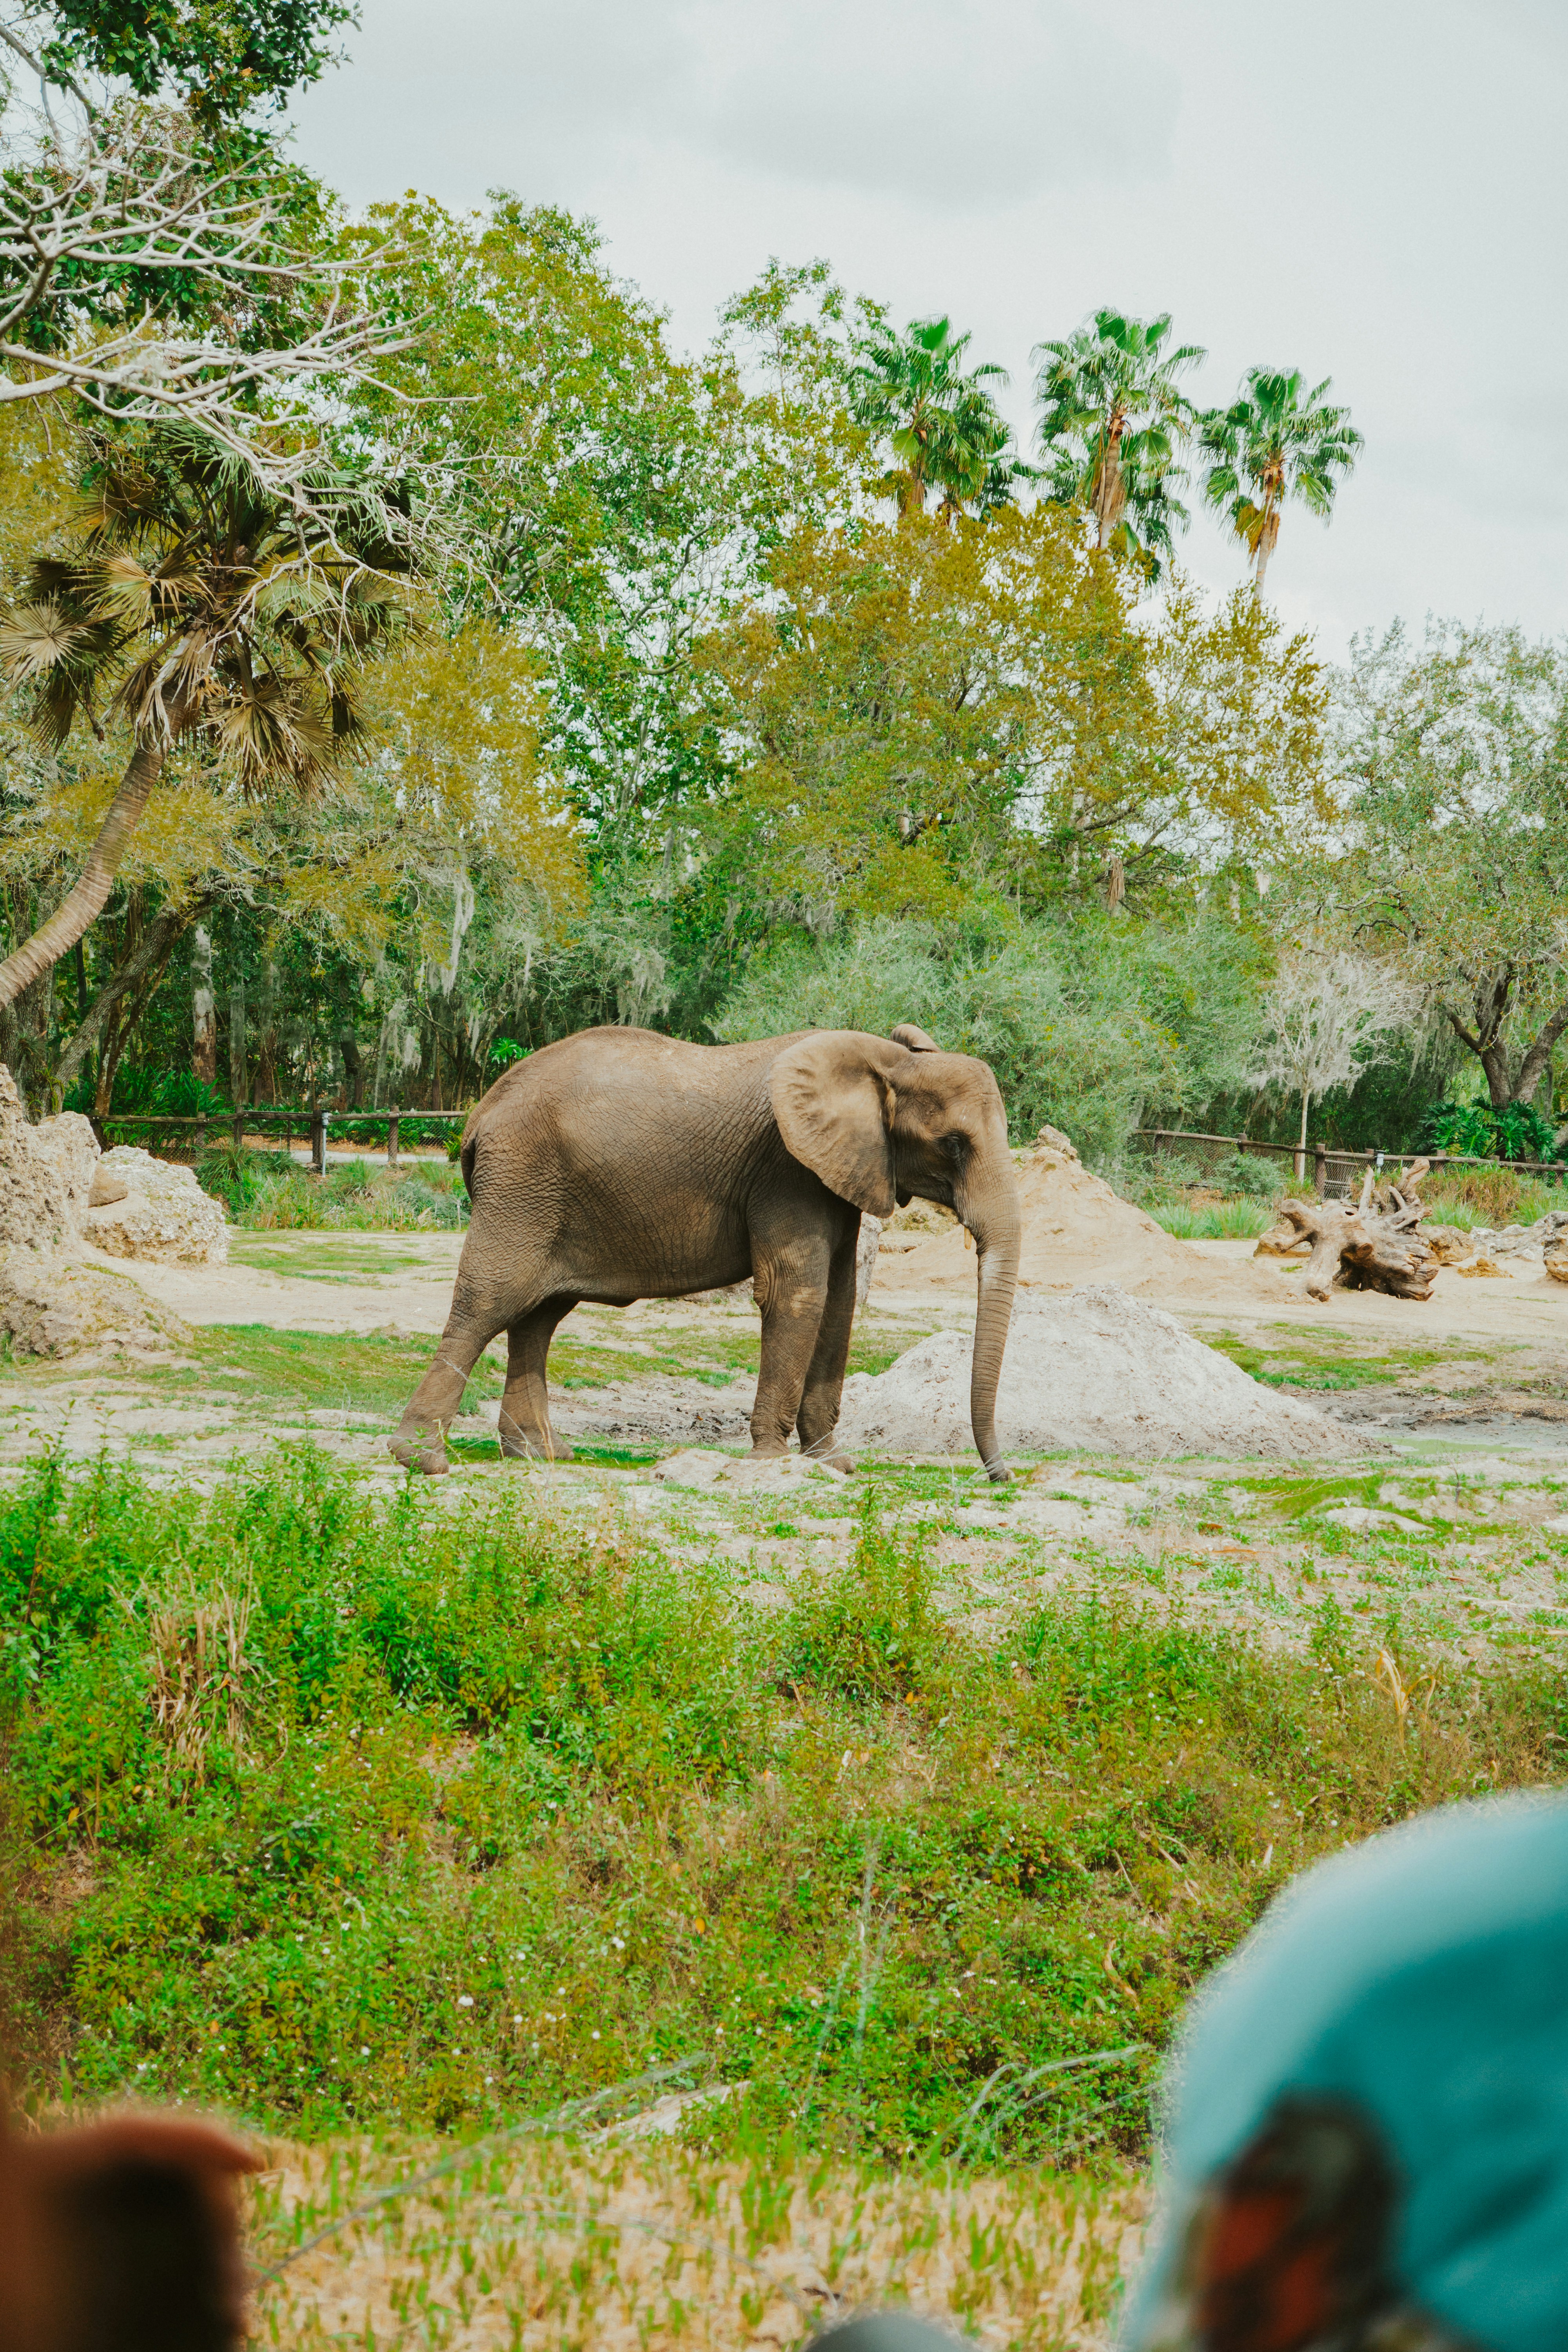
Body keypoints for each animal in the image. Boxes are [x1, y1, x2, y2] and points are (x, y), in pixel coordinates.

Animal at [388, 1022, 1022, 1480]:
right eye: (954, 1145)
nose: (1001, 1475)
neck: (887, 1062)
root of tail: (477, 1119)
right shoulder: (786, 1169)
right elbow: (798, 1293)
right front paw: (773, 1464)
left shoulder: (839, 1171)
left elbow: (838, 1300)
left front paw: (833, 1466)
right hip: (521, 1185)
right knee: (489, 1302)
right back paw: (423, 1461)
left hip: (545, 1195)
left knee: (538, 1315)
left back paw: (540, 1455)